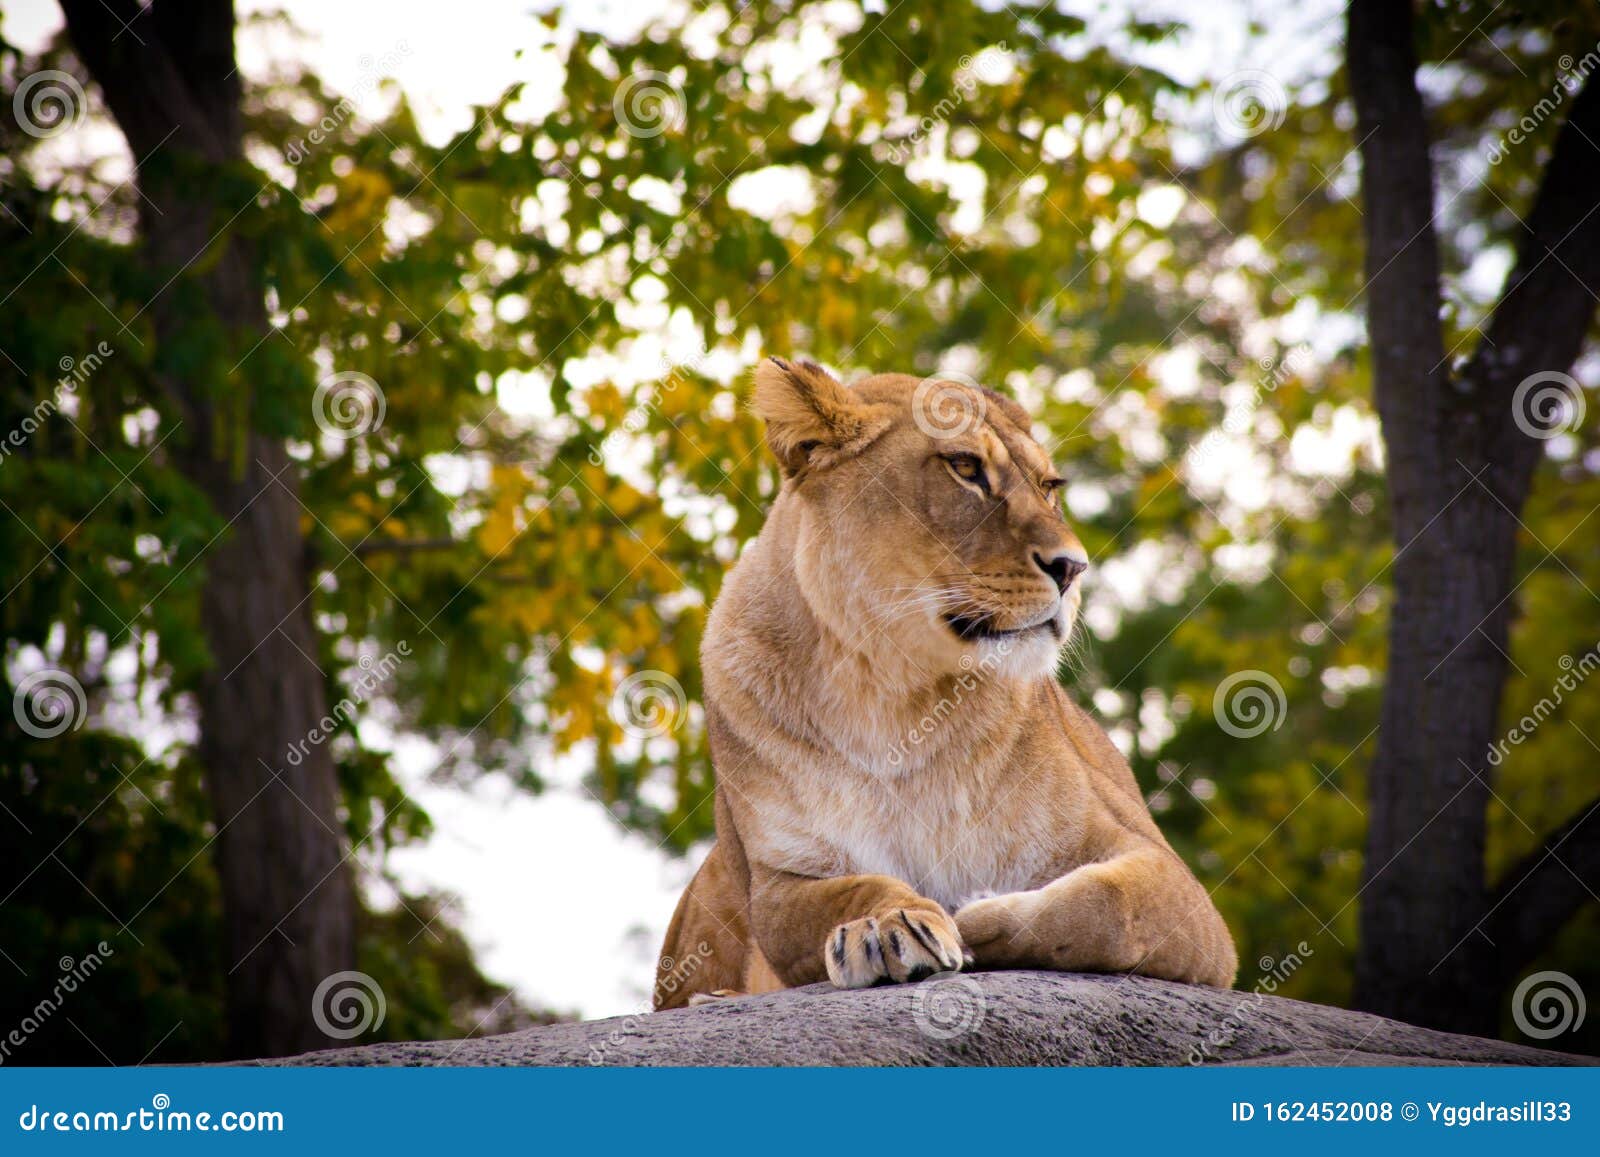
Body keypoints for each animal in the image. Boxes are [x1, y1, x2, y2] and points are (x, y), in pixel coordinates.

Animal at [653, 357, 1236, 1010]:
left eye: (1049, 487)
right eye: (965, 467)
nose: (1073, 568)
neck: (892, 690)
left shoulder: (1172, 881)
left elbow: (1104, 906)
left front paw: (975, 912)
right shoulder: (779, 884)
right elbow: (848, 891)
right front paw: (887, 924)